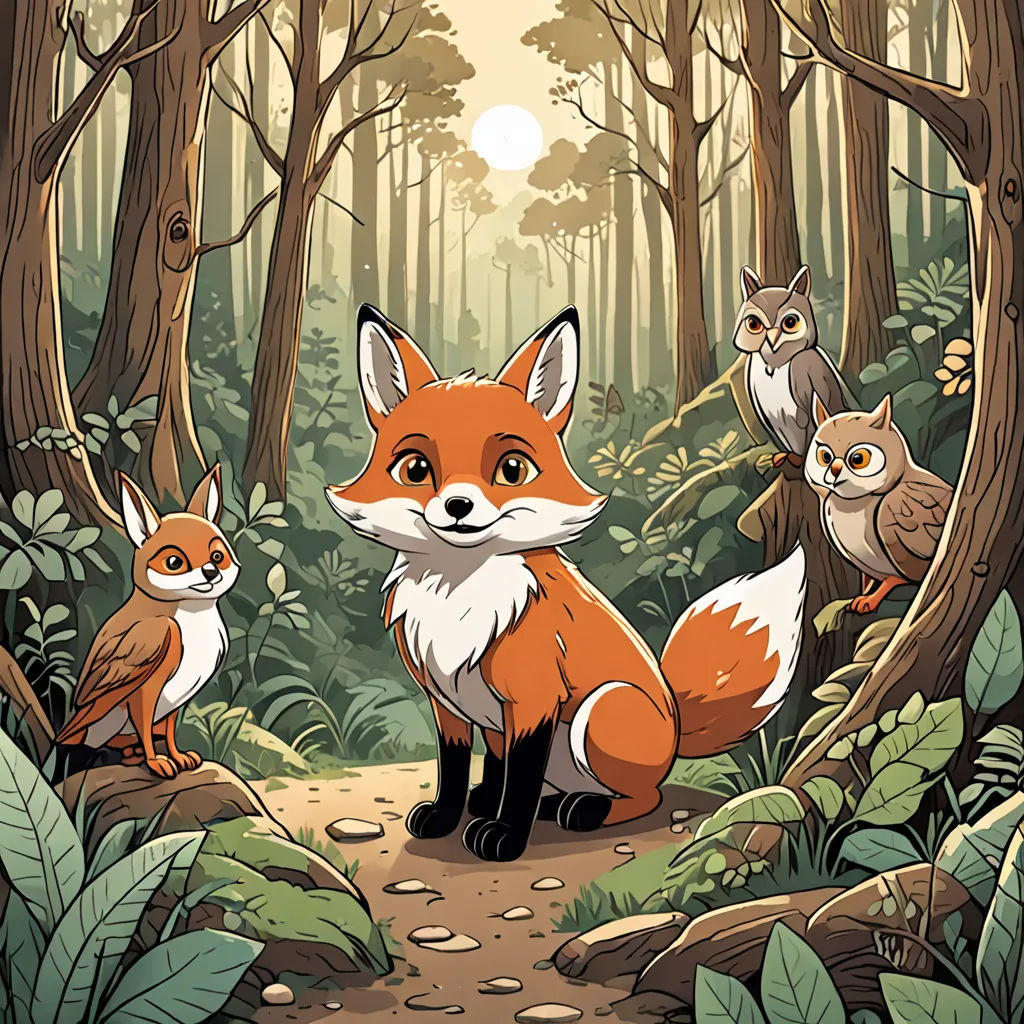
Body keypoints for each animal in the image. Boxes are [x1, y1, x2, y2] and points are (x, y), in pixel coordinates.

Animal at [56, 465, 238, 778]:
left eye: (217, 555)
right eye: (175, 562)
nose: (210, 572)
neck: (191, 618)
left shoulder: (178, 698)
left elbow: (169, 732)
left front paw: (177, 756)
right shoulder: (145, 690)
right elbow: (145, 727)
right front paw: (156, 763)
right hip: (105, 705)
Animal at [327, 303, 806, 862]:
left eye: (512, 469)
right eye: (416, 469)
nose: (459, 505)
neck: (460, 596)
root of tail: (677, 727)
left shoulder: (534, 702)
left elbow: (520, 781)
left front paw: (505, 837)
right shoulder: (447, 702)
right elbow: (456, 769)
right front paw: (449, 815)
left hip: (601, 713)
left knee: (643, 796)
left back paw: (580, 810)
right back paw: (518, 801)